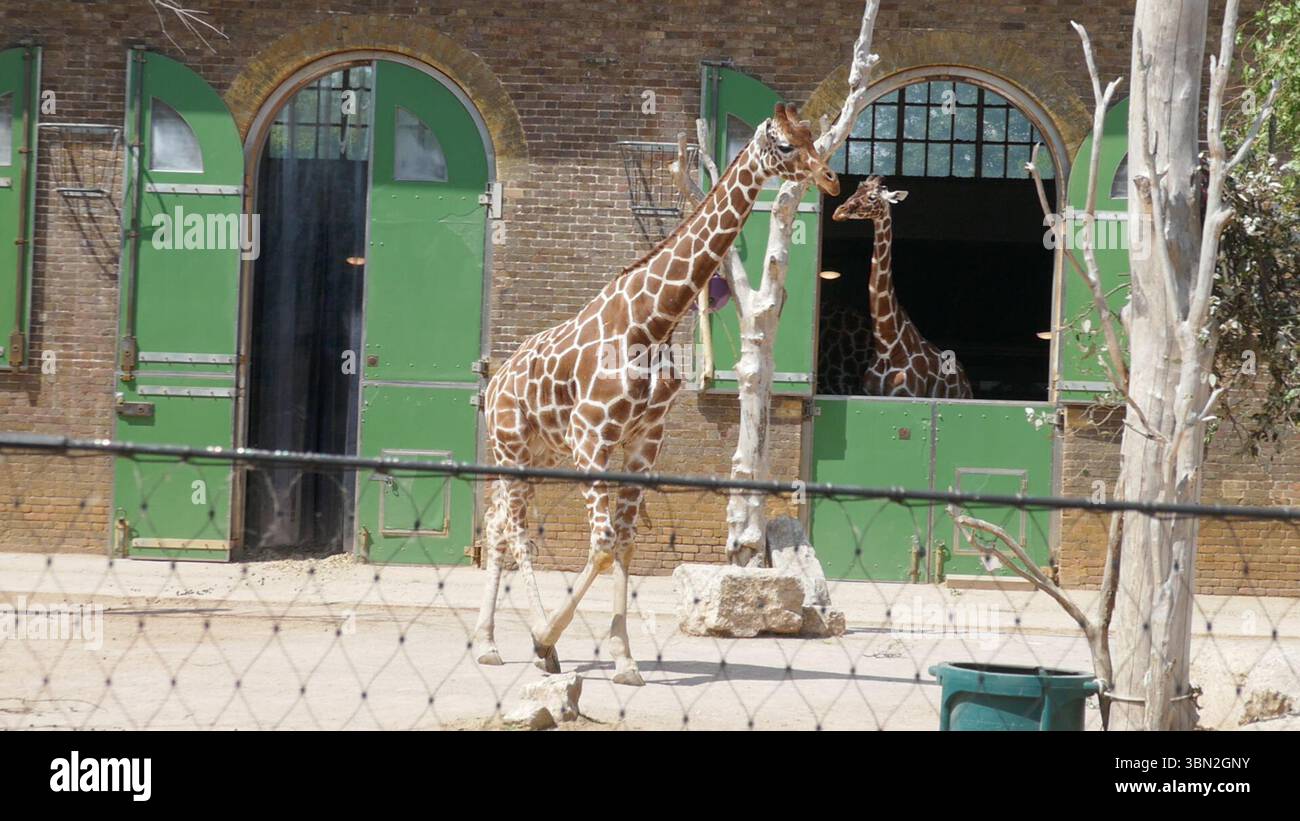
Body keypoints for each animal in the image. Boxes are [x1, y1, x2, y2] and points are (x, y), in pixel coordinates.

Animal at [473, 104, 840, 686]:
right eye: (784, 144)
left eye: (812, 136)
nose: (830, 178)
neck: (654, 320)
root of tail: (499, 376)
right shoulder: (593, 438)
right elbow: (601, 545)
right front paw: (546, 639)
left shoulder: (645, 441)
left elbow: (624, 543)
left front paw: (623, 659)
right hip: (510, 446)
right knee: (513, 529)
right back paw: (526, 643)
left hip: (538, 453)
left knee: (499, 525)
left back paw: (489, 642)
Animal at [831, 176, 973, 399]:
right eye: (856, 190)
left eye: (872, 197)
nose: (839, 211)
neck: (887, 346)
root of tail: (965, 379)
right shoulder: (870, 394)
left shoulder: (907, 396)